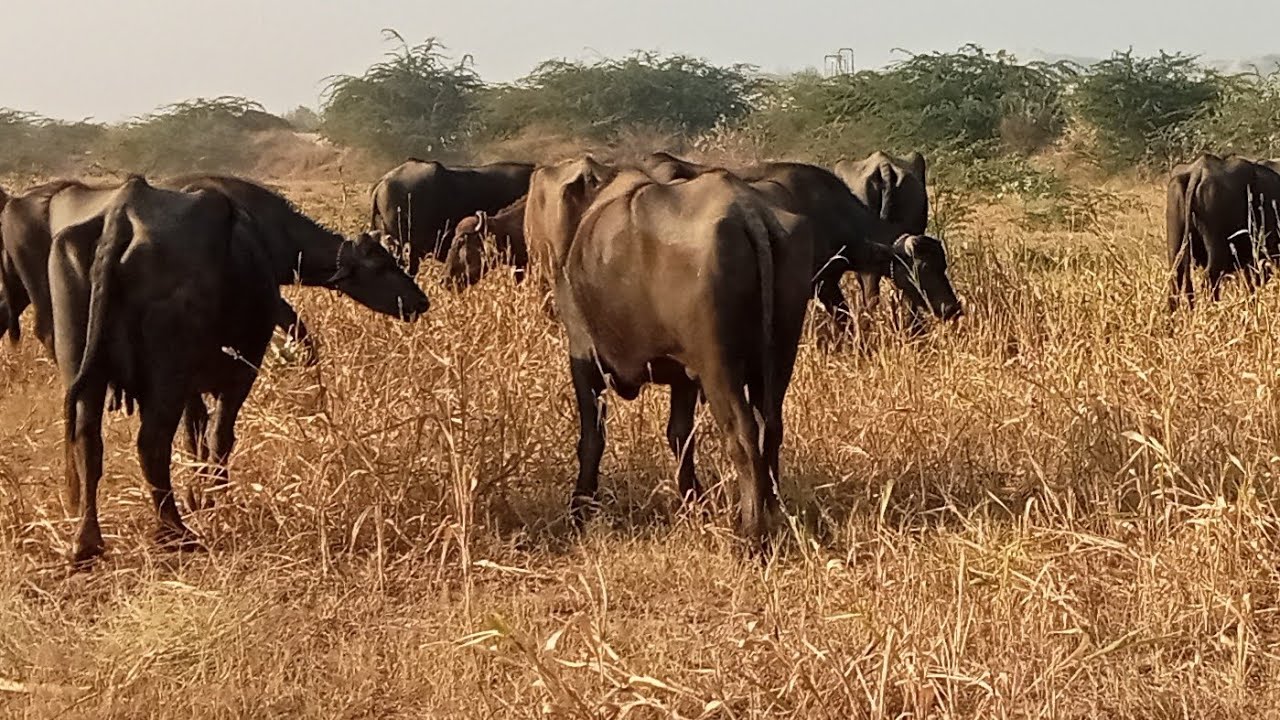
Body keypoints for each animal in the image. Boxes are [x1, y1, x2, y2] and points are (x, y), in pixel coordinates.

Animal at [527, 158, 814, 549]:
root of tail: (749, 212)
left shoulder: (584, 356)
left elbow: (591, 439)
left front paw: (580, 509)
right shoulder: (684, 375)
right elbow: (680, 434)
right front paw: (695, 501)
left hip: (719, 367)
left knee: (743, 435)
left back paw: (750, 533)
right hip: (779, 355)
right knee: (771, 427)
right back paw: (772, 513)